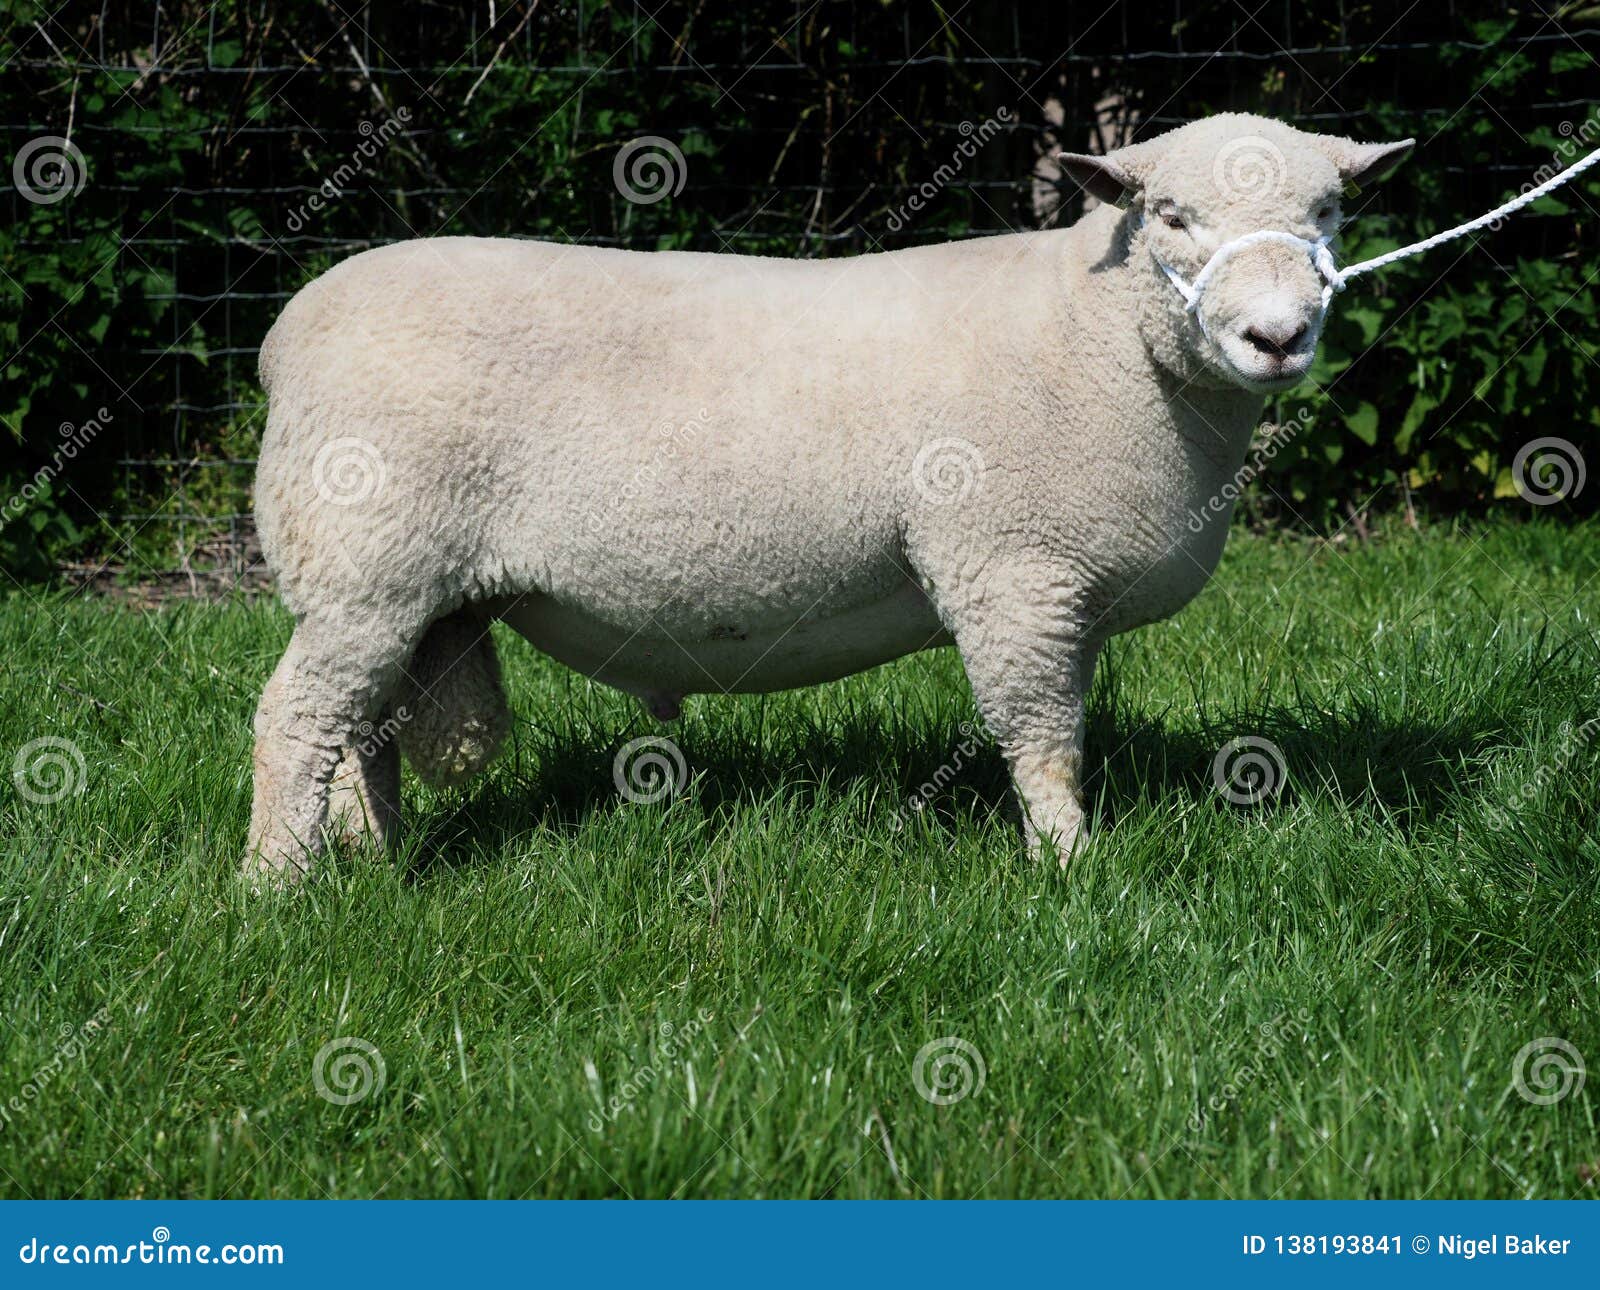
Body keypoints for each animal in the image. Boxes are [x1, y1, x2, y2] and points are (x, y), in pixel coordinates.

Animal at [246, 112, 1413, 882]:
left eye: (1328, 210)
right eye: (1170, 213)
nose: (1277, 338)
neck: (1099, 338)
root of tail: (285, 334)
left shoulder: (1059, 585)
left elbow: (1060, 727)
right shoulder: (1014, 566)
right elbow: (1041, 738)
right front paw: (1069, 870)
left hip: (406, 589)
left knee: (364, 731)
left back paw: (373, 861)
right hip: (364, 561)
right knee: (295, 720)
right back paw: (278, 888)